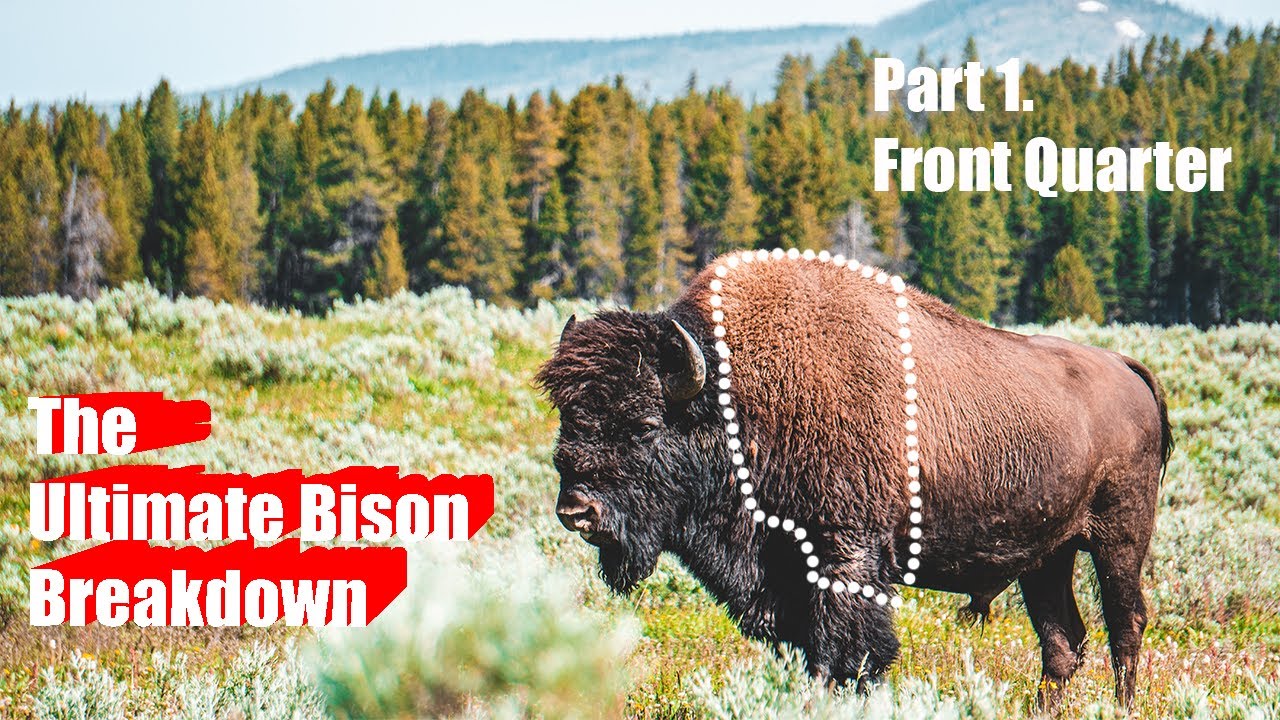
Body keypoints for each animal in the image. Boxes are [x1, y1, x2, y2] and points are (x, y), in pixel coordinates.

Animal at [537, 252, 1171, 706]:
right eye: (567, 417)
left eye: (645, 424)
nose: (577, 511)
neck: (737, 401)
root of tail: (1126, 367)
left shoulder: (844, 557)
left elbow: (847, 652)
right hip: (1047, 556)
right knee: (1063, 642)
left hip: (1118, 539)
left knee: (1125, 624)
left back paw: (1123, 707)